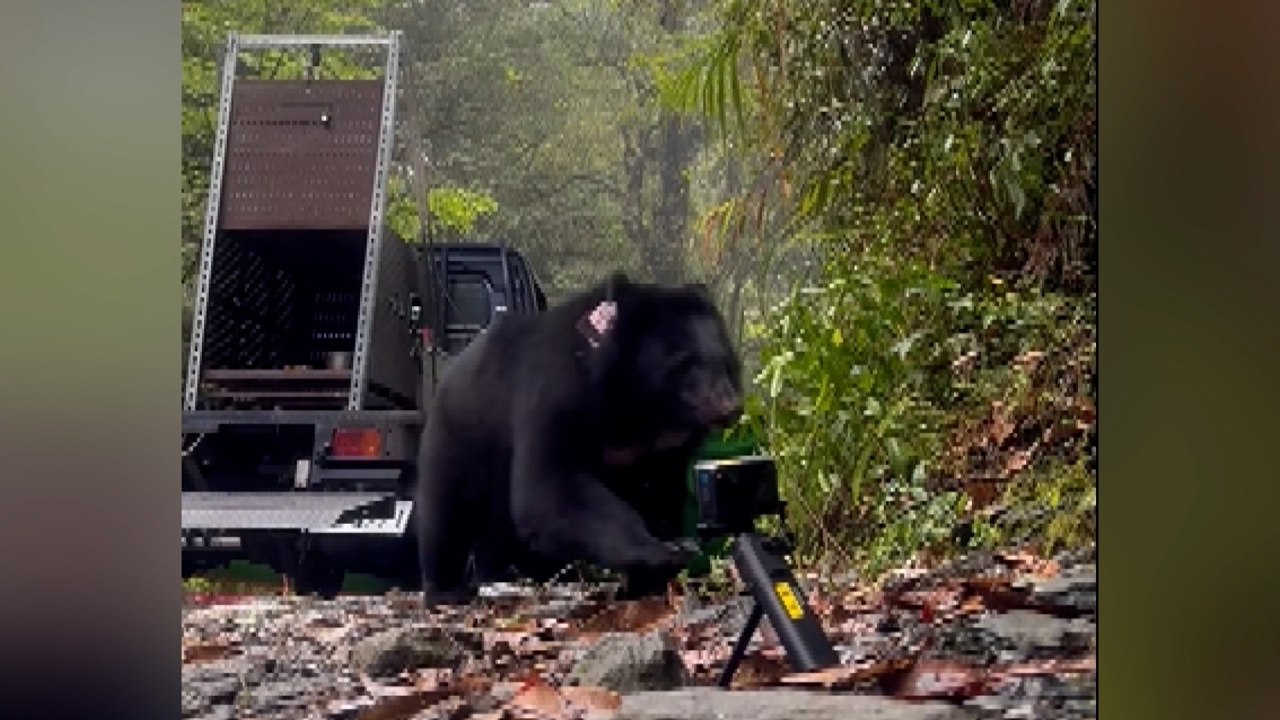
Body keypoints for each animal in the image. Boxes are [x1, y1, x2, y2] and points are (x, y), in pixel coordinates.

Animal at [413, 272, 744, 606]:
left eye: (725, 362)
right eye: (686, 364)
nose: (731, 407)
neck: (642, 410)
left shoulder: (662, 451)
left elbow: (660, 494)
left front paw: (649, 576)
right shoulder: (560, 393)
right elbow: (553, 488)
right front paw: (665, 552)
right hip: (459, 432)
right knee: (447, 511)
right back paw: (449, 590)